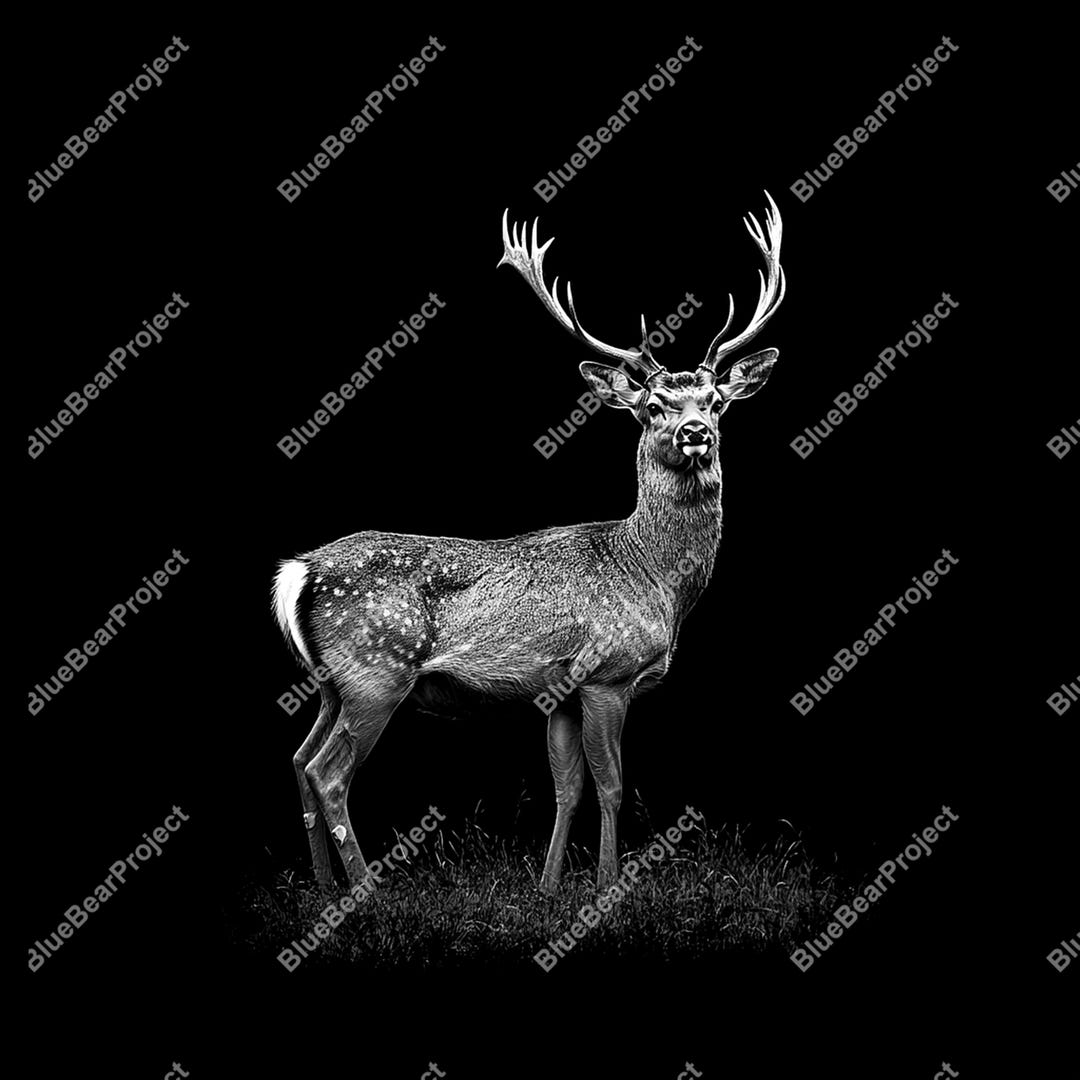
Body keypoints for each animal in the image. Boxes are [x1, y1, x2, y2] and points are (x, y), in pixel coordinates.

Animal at [272, 192, 786, 895]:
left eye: (715, 400)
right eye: (652, 404)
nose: (694, 432)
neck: (653, 576)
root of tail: (298, 570)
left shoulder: (559, 691)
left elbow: (566, 787)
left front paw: (548, 887)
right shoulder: (607, 672)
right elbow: (611, 786)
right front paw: (609, 887)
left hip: (331, 681)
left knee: (299, 759)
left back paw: (324, 888)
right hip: (376, 667)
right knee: (329, 772)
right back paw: (368, 891)